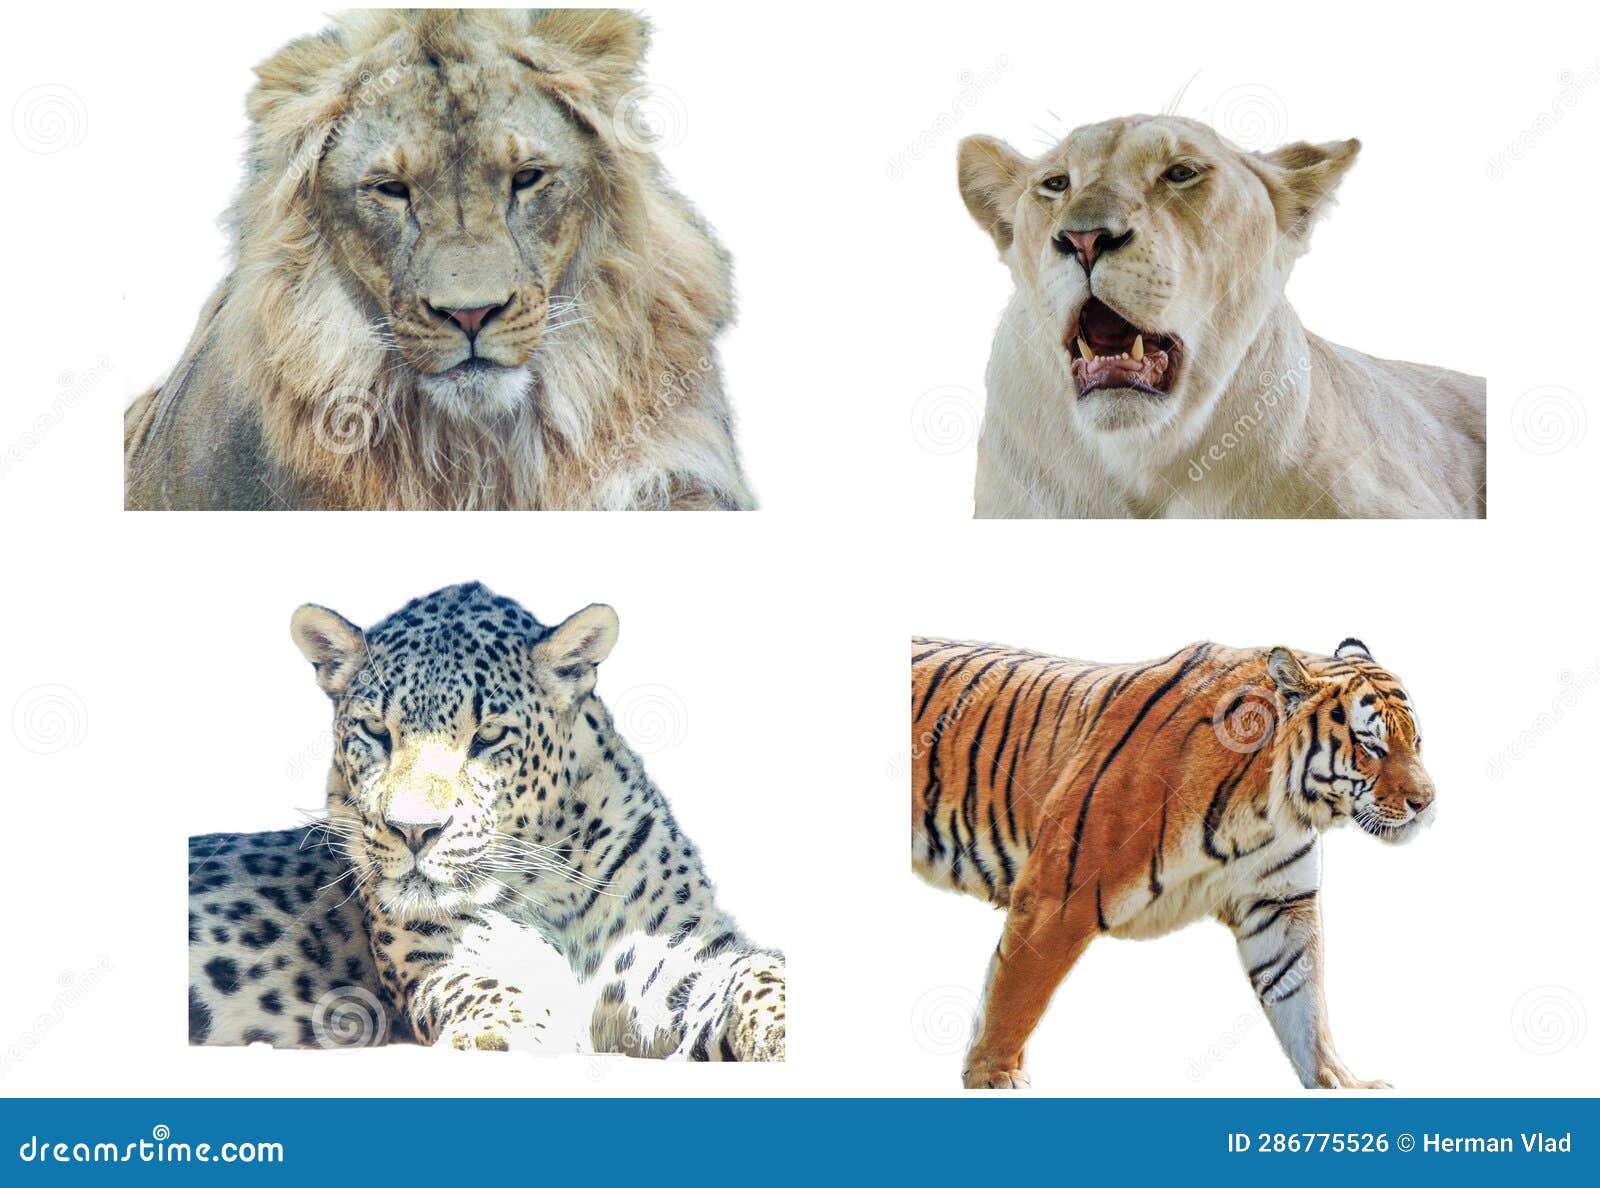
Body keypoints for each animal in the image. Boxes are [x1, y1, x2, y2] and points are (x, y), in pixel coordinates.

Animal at [909, 635, 1436, 1090]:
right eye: (1371, 746)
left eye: (1416, 741)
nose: (1426, 802)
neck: (1272, 809)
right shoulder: (1055, 897)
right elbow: (1017, 996)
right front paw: (994, 1077)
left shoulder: (1281, 904)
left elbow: (1304, 1003)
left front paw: (1339, 1083)